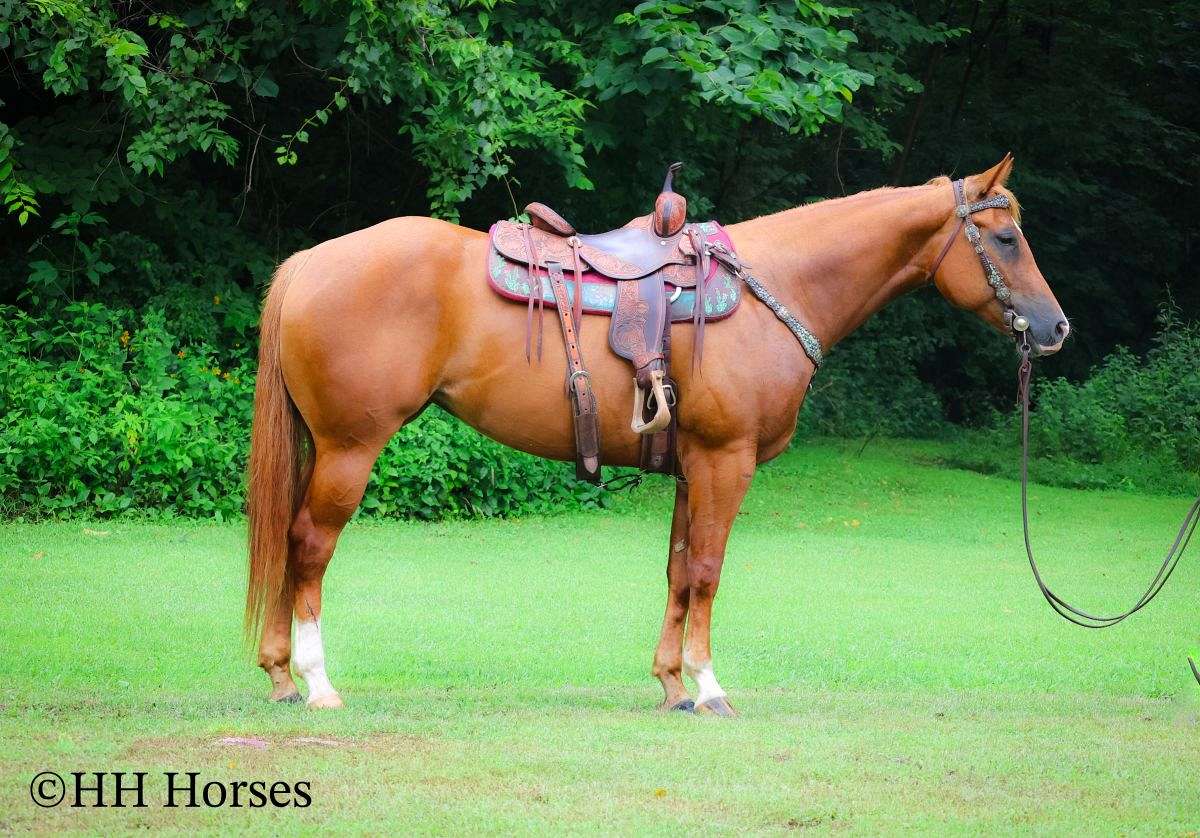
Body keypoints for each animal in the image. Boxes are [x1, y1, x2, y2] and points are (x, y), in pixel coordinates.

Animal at [244, 155, 1069, 716]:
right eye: (1005, 237)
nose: (1056, 328)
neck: (776, 288)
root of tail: (311, 261)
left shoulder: (691, 465)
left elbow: (677, 572)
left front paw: (672, 684)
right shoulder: (727, 460)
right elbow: (707, 569)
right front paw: (708, 685)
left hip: (323, 446)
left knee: (288, 540)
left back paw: (281, 673)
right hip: (351, 448)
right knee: (310, 545)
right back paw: (316, 682)